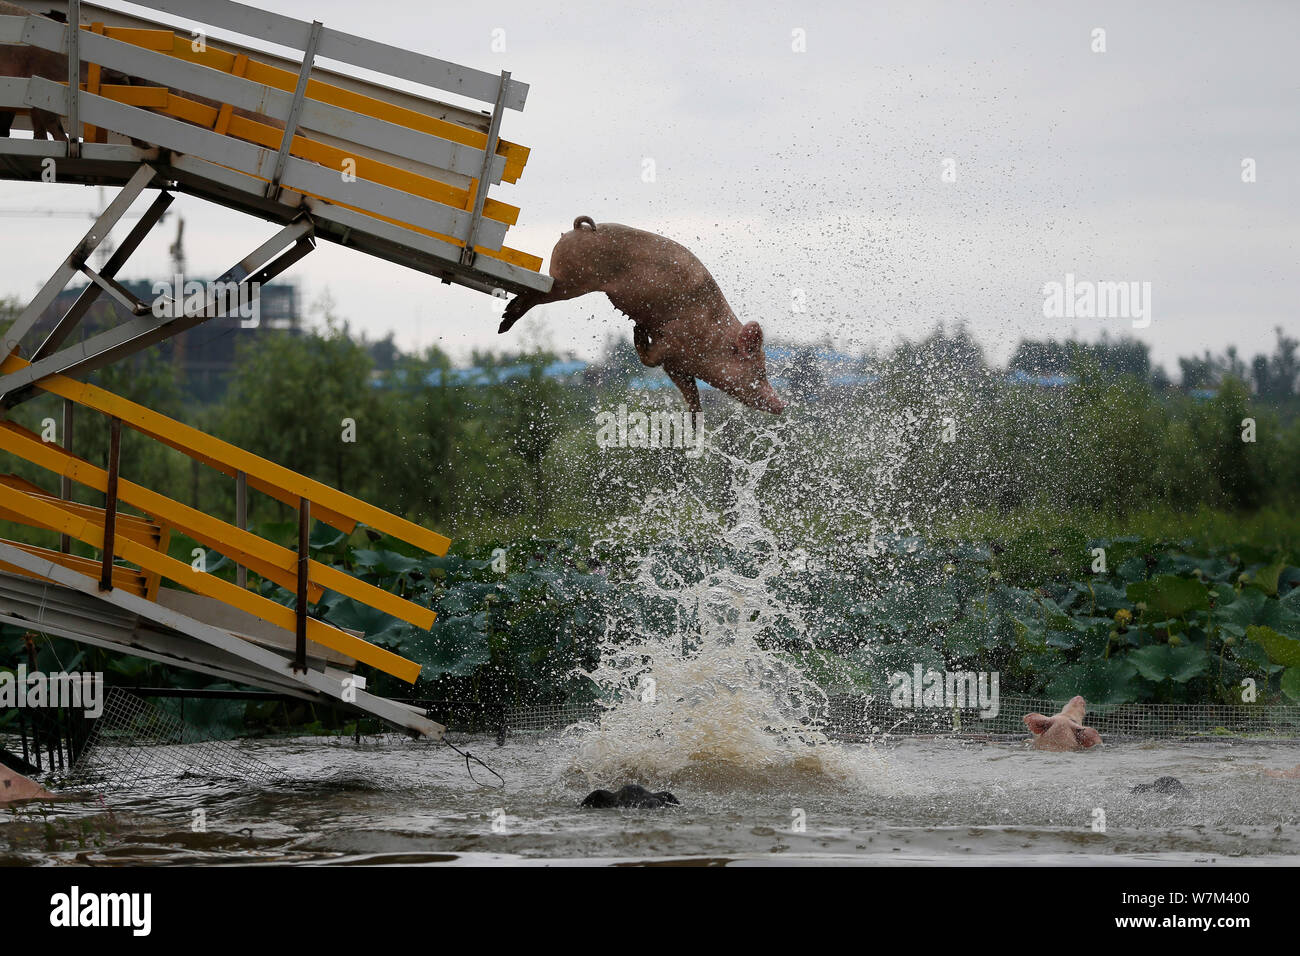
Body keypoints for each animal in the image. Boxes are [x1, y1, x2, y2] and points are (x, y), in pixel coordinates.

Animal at [499, 216, 785, 415]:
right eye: (760, 371)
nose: (782, 405)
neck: (712, 341)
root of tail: (580, 228)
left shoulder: (678, 365)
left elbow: (689, 390)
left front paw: (696, 423)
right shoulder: (672, 338)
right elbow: (650, 360)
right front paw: (638, 331)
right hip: (570, 281)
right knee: (535, 295)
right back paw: (504, 323)